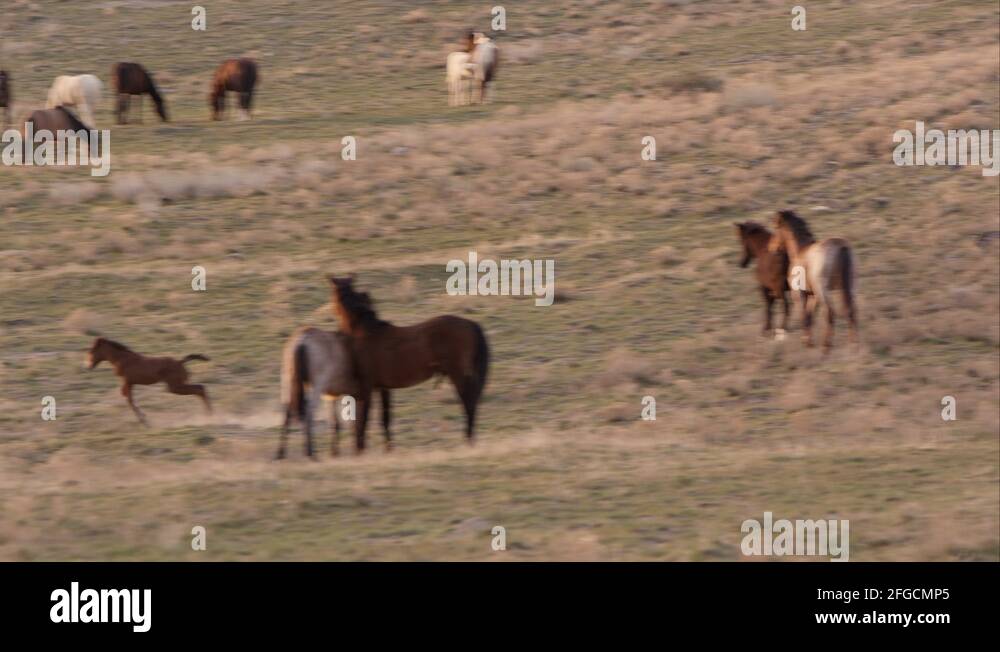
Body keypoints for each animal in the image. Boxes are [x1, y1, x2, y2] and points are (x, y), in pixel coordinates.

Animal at [278, 326, 380, 459]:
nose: (360, 448)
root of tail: (302, 340)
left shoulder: (331, 395)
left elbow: (335, 423)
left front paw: (334, 453)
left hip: (288, 383)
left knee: (287, 412)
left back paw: (280, 454)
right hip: (315, 387)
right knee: (308, 412)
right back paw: (310, 453)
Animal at [329, 276, 490, 451]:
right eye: (337, 294)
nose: (337, 331)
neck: (365, 332)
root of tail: (471, 324)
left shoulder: (366, 388)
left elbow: (362, 421)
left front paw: (360, 450)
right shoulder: (383, 387)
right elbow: (385, 418)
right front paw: (388, 449)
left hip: (459, 376)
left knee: (469, 404)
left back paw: (468, 441)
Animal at [769, 210, 859, 350]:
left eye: (776, 227)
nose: (772, 248)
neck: (800, 252)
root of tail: (841, 246)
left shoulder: (799, 294)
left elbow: (804, 317)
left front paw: (806, 342)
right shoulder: (812, 296)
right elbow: (810, 317)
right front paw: (809, 342)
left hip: (823, 291)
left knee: (830, 312)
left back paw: (826, 346)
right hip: (849, 287)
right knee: (852, 311)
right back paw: (854, 346)